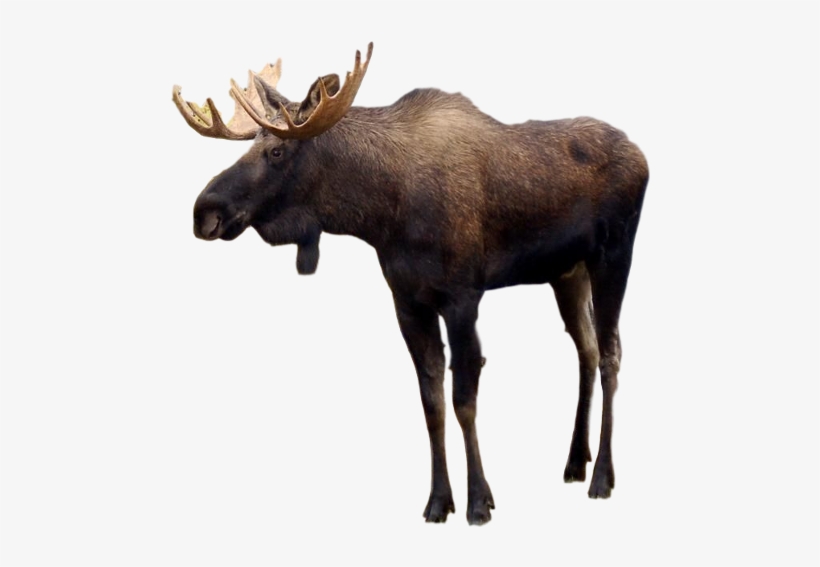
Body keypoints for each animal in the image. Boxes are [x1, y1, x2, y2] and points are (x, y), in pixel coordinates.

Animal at [172, 43, 648, 525]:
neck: (381, 211)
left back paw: (602, 476)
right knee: (586, 350)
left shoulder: (462, 298)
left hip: (614, 257)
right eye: (253, 146)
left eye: (277, 152)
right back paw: (574, 461)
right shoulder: (407, 301)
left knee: (611, 354)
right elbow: (431, 404)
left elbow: (463, 401)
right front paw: (439, 501)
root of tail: (642, 154)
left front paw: (479, 501)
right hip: (567, 272)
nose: (204, 212)